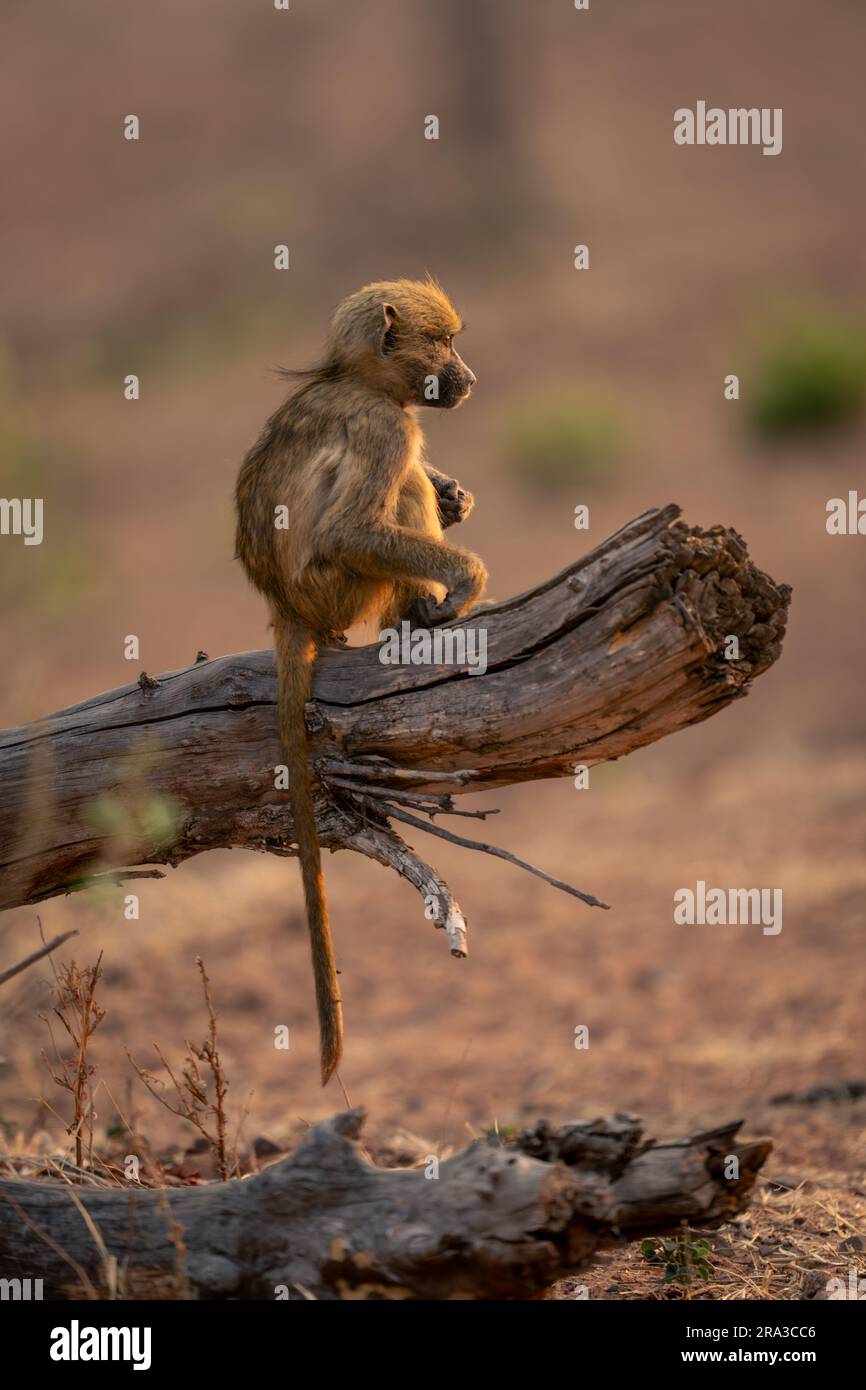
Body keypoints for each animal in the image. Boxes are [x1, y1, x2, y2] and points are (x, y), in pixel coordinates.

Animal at [234, 278, 487, 1085]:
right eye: (445, 343)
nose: (469, 378)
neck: (356, 380)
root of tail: (284, 607)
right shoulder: (385, 429)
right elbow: (351, 524)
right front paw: (464, 578)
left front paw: (454, 495)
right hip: (336, 590)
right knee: (391, 501)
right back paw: (418, 616)